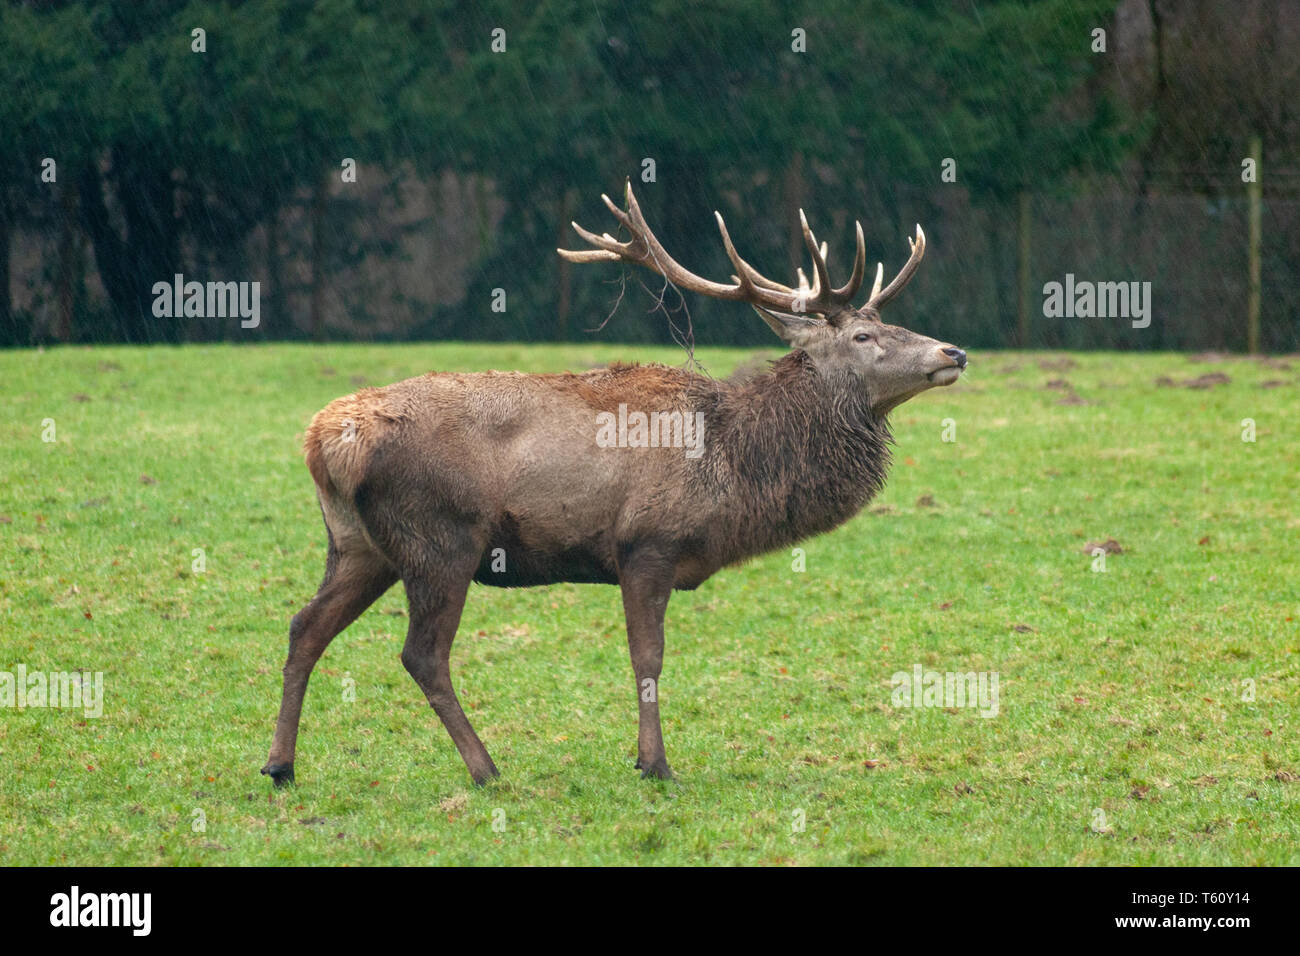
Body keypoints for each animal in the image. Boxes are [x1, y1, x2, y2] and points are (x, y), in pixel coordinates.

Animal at [261, 181, 966, 787]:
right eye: (864, 334)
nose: (953, 352)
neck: (734, 468)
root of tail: (326, 439)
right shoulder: (645, 542)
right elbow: (647, 657)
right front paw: (655, 764)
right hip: (442, 535)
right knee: (421, 654)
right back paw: (487, 770)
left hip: (360, 543)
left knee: (305, 626)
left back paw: (280, 766)